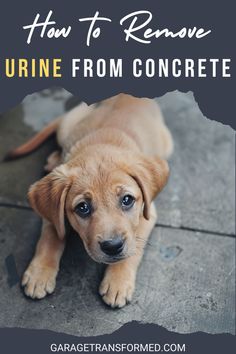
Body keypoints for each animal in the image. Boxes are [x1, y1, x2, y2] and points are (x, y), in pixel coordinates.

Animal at [8, 94, 173, 306]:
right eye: (82, 208)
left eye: (127, 200)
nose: (113, 247)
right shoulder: (52, 213)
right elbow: (50, 236)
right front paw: (39, 273)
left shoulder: (148, 213)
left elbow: (134, 248)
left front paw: (118, 282)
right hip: (67, 128)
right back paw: (54, 161)